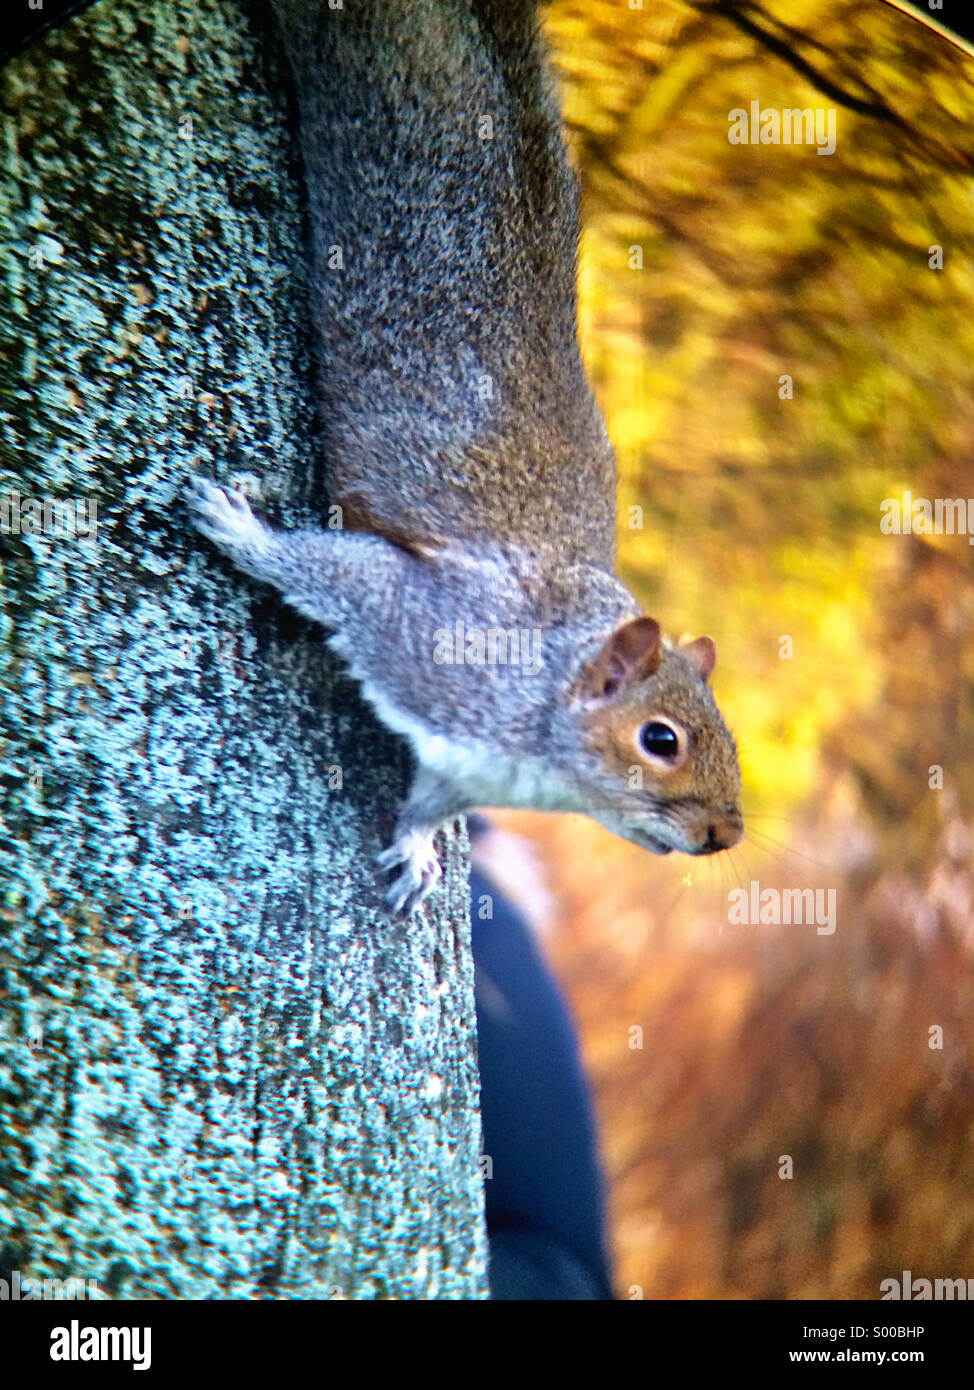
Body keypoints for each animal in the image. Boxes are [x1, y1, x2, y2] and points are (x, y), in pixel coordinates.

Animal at [187, 0, 743, 915]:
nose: (723, 835)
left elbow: (430, 801)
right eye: (660, 739)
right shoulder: (420, 619)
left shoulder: (465, 766)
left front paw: (417, 852)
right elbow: (332, 570)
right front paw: (243, 531)